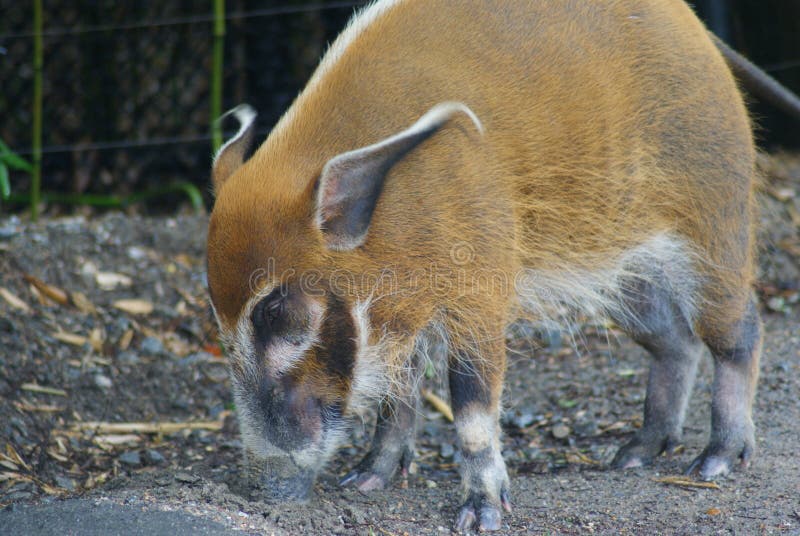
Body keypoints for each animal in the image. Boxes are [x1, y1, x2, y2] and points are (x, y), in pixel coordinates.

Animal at [206, 0, 798, 531]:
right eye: (221, 318)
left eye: (279, 312)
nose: (269, 490)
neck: (393, 217)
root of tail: (695, 27)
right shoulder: (398, 312)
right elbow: (398, 398)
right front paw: (365, 481)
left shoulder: (480, 290)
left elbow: (470, 405)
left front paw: (481, 514)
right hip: (621, 276)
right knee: (675, 342)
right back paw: (633, 454)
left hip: (714, 225)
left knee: (739, 332)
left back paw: (716, 460)